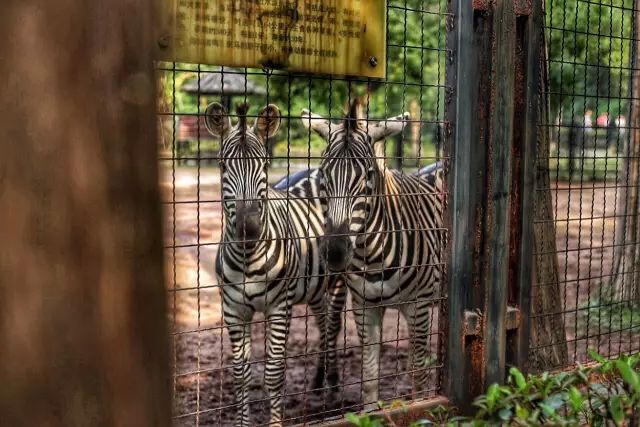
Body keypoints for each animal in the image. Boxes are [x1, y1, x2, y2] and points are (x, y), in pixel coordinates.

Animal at [204, 102, 344, 426]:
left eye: (265, 167)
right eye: (222, 167)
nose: (249, 228)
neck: (247, 259)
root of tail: (316, 172)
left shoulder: (280, 306)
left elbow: (273, 373)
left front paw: (276, 421)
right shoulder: (233, 311)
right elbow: (241, 375)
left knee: (333, 324)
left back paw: (332, 383)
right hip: (314, 285)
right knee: (322, 322)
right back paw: (318, 382)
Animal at [302, 99, 444, 412]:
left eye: (368, 175)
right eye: (322, 174)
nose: (335, 252)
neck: (373, 256)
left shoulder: (418, 307)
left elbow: (418, 374)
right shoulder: (364, 306)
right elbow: (368, 375)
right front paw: (368, 412)